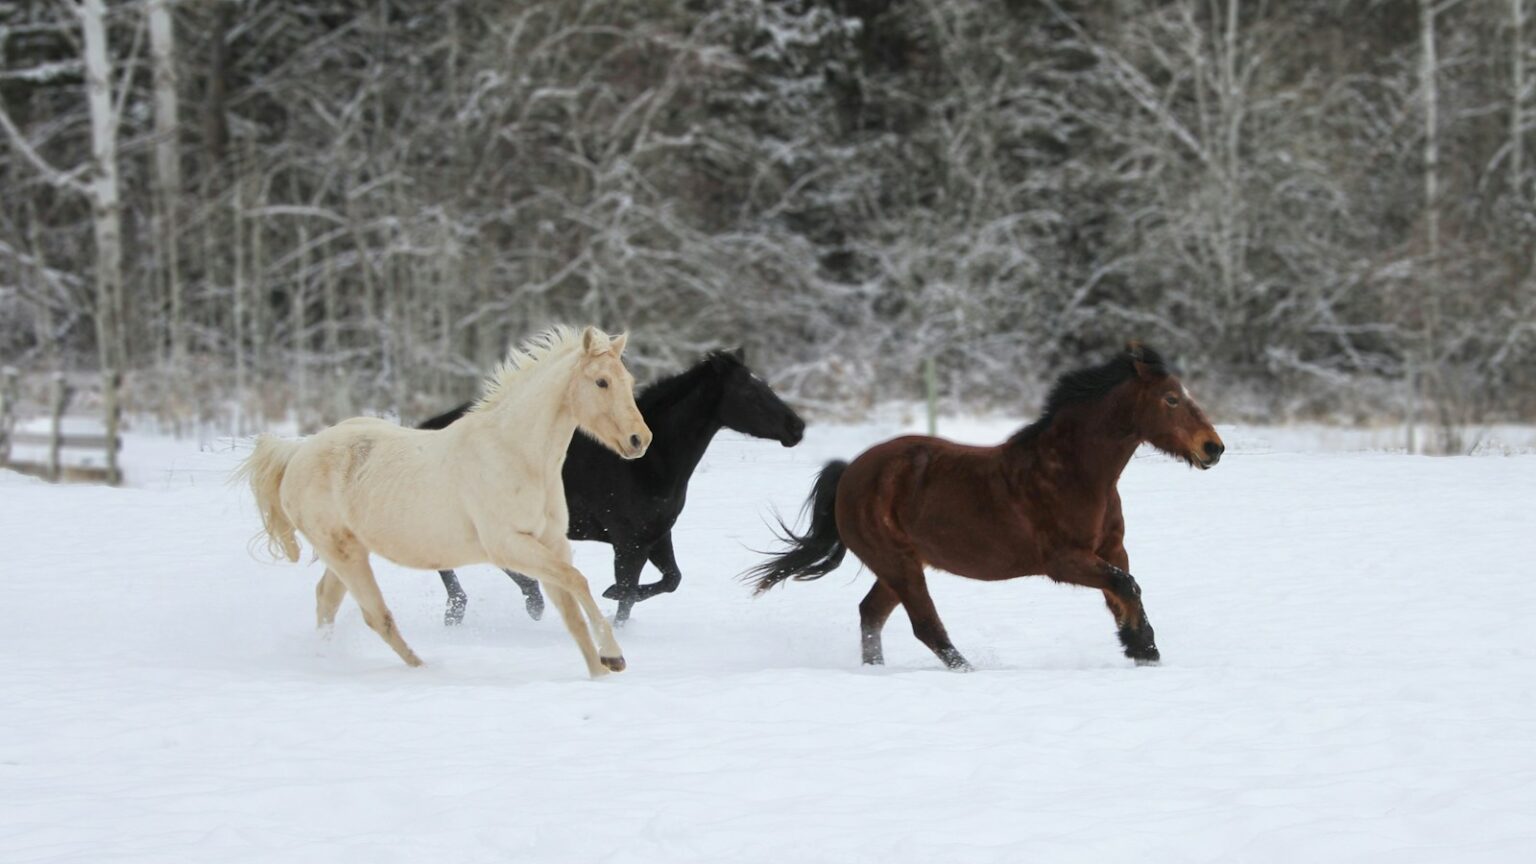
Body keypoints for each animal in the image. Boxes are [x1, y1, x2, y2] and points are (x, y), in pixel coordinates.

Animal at [234, 326, 652, 678]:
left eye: (628, 381)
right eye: (601, 381)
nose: (639, 439)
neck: (515, 454)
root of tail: (298, 453)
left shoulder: (552, 544)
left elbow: (572, 611)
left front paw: (602, 671)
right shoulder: (508, 547)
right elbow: (578, 581)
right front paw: (613, 657)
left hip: (348, 551)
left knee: (326, 601)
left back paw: (325, 659)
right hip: (344, 553)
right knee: (376, 616)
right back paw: (424, 670)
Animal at [421, 348, 806, 626]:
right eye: (750, 391)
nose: (797, 427)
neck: (650, 462)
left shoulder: (656, 536)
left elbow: (670, 580)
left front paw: (608, 599)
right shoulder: (628, 542)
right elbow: (627, 593)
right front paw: (610, 606)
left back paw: (524, 602)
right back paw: (463, 609)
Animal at [746, 343, 1224, 670]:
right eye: (1171, 399)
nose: (1213, 448)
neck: (1075, 473)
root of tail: (850, 473)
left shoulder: (1110, 549)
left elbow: (1124, 589)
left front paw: (1141, 648)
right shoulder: (1064, 561)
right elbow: (1127, 586)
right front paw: (1142, 647)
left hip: (899, 565)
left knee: (872, 615)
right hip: (899, 564)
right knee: (925, 626)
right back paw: (969, 669)